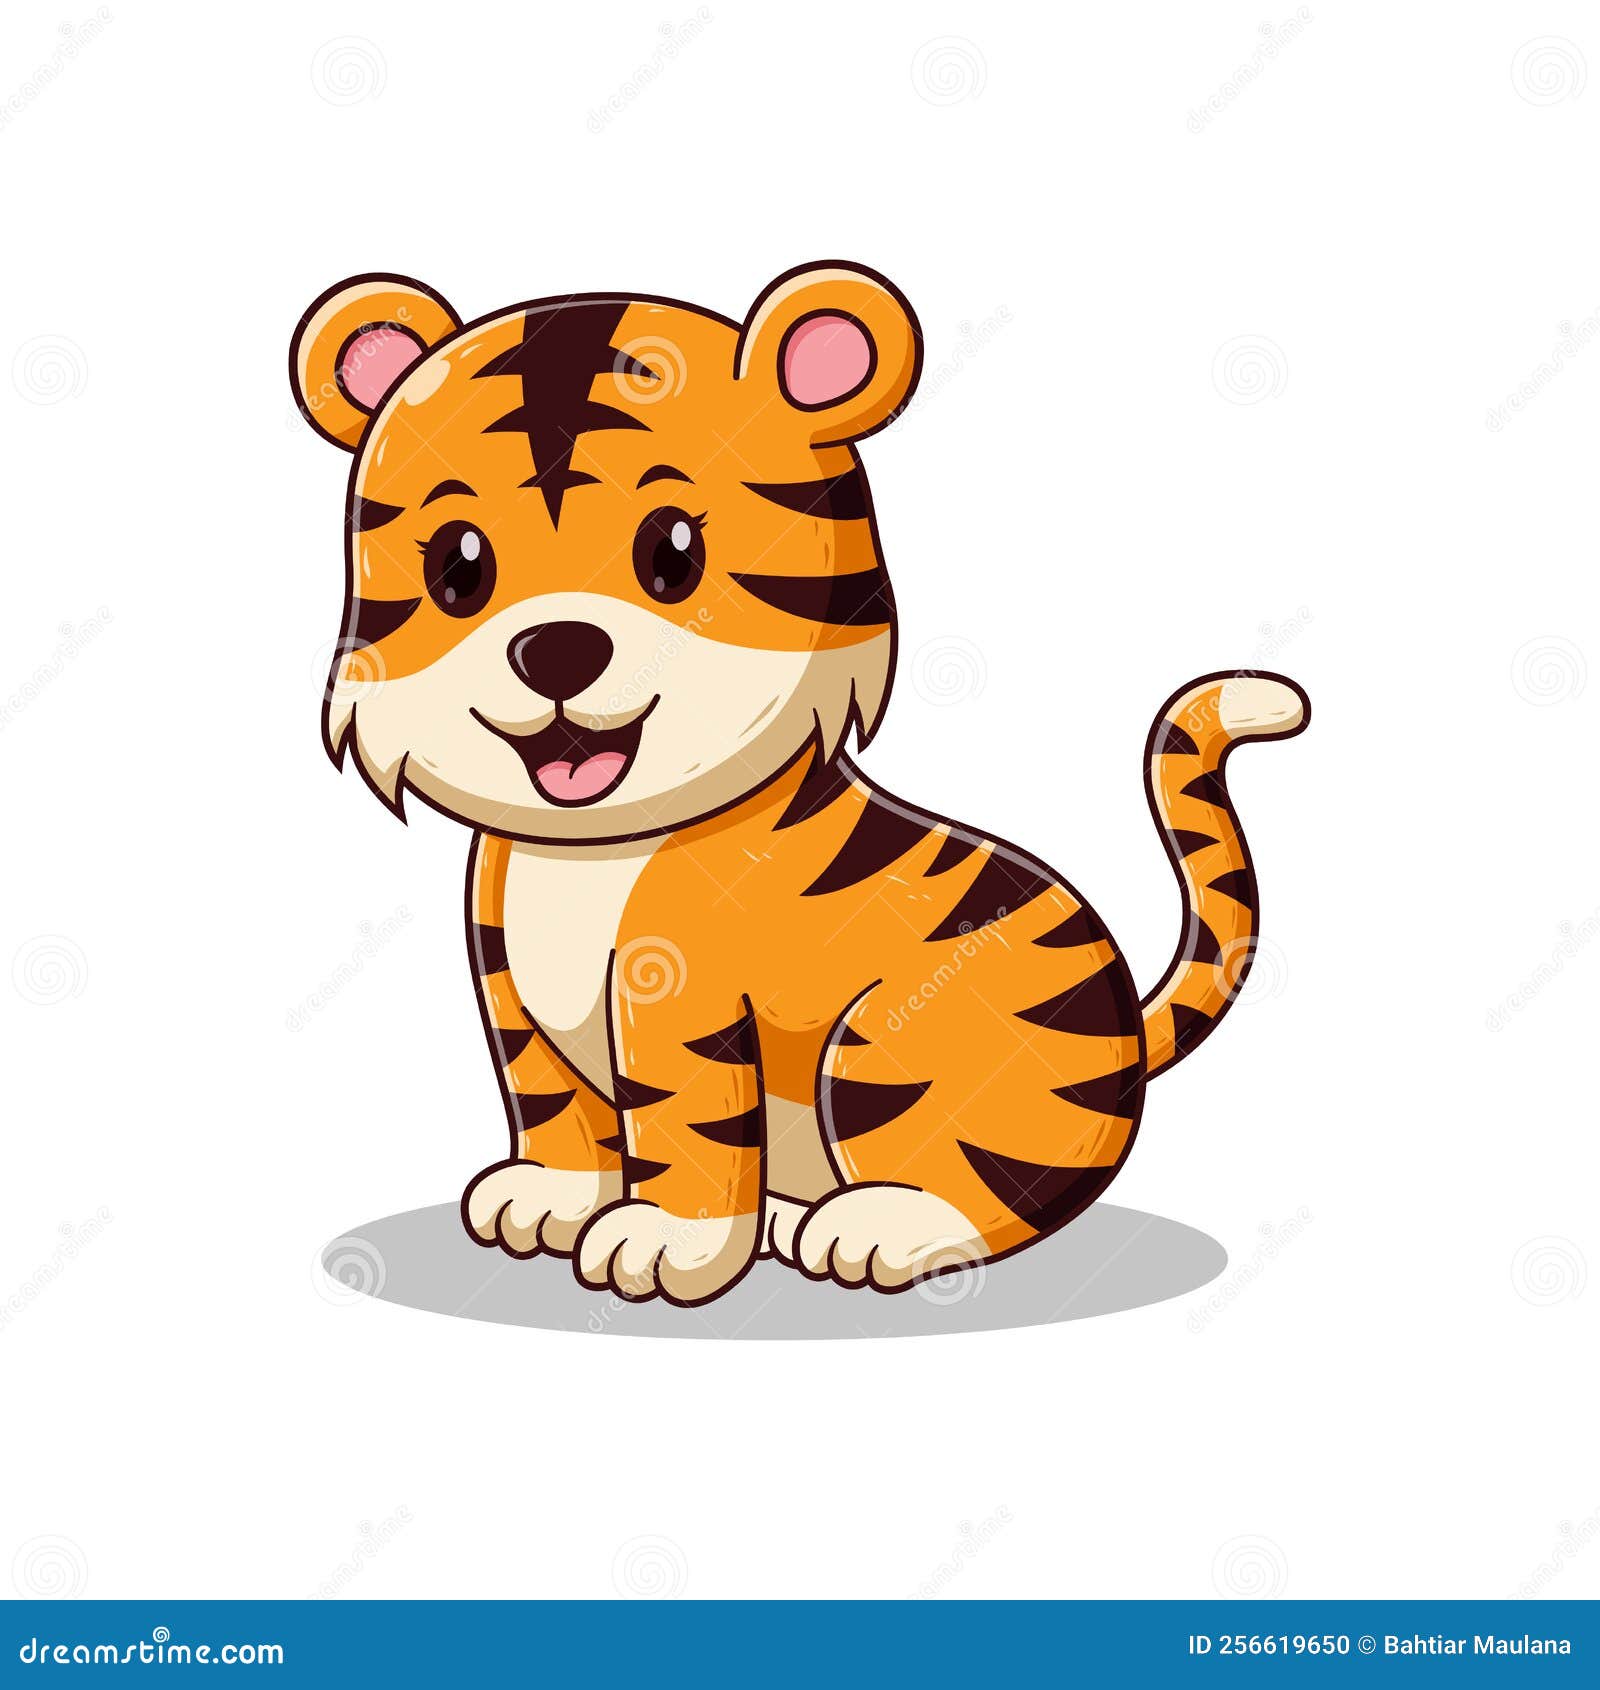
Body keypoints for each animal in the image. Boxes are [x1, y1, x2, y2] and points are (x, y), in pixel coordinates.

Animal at [289, 262, 1310, 1308]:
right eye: (457, 565)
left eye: (674, 551)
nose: (559, 647)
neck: (586, 850)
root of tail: (1129, 1028)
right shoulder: (507, 983)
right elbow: (549, 1100)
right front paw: (549, 1197)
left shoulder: (676, 993)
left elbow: (682, 1123)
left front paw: (663, 1243)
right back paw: (791, 1219)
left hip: (884, 1039)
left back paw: (878, 1227)